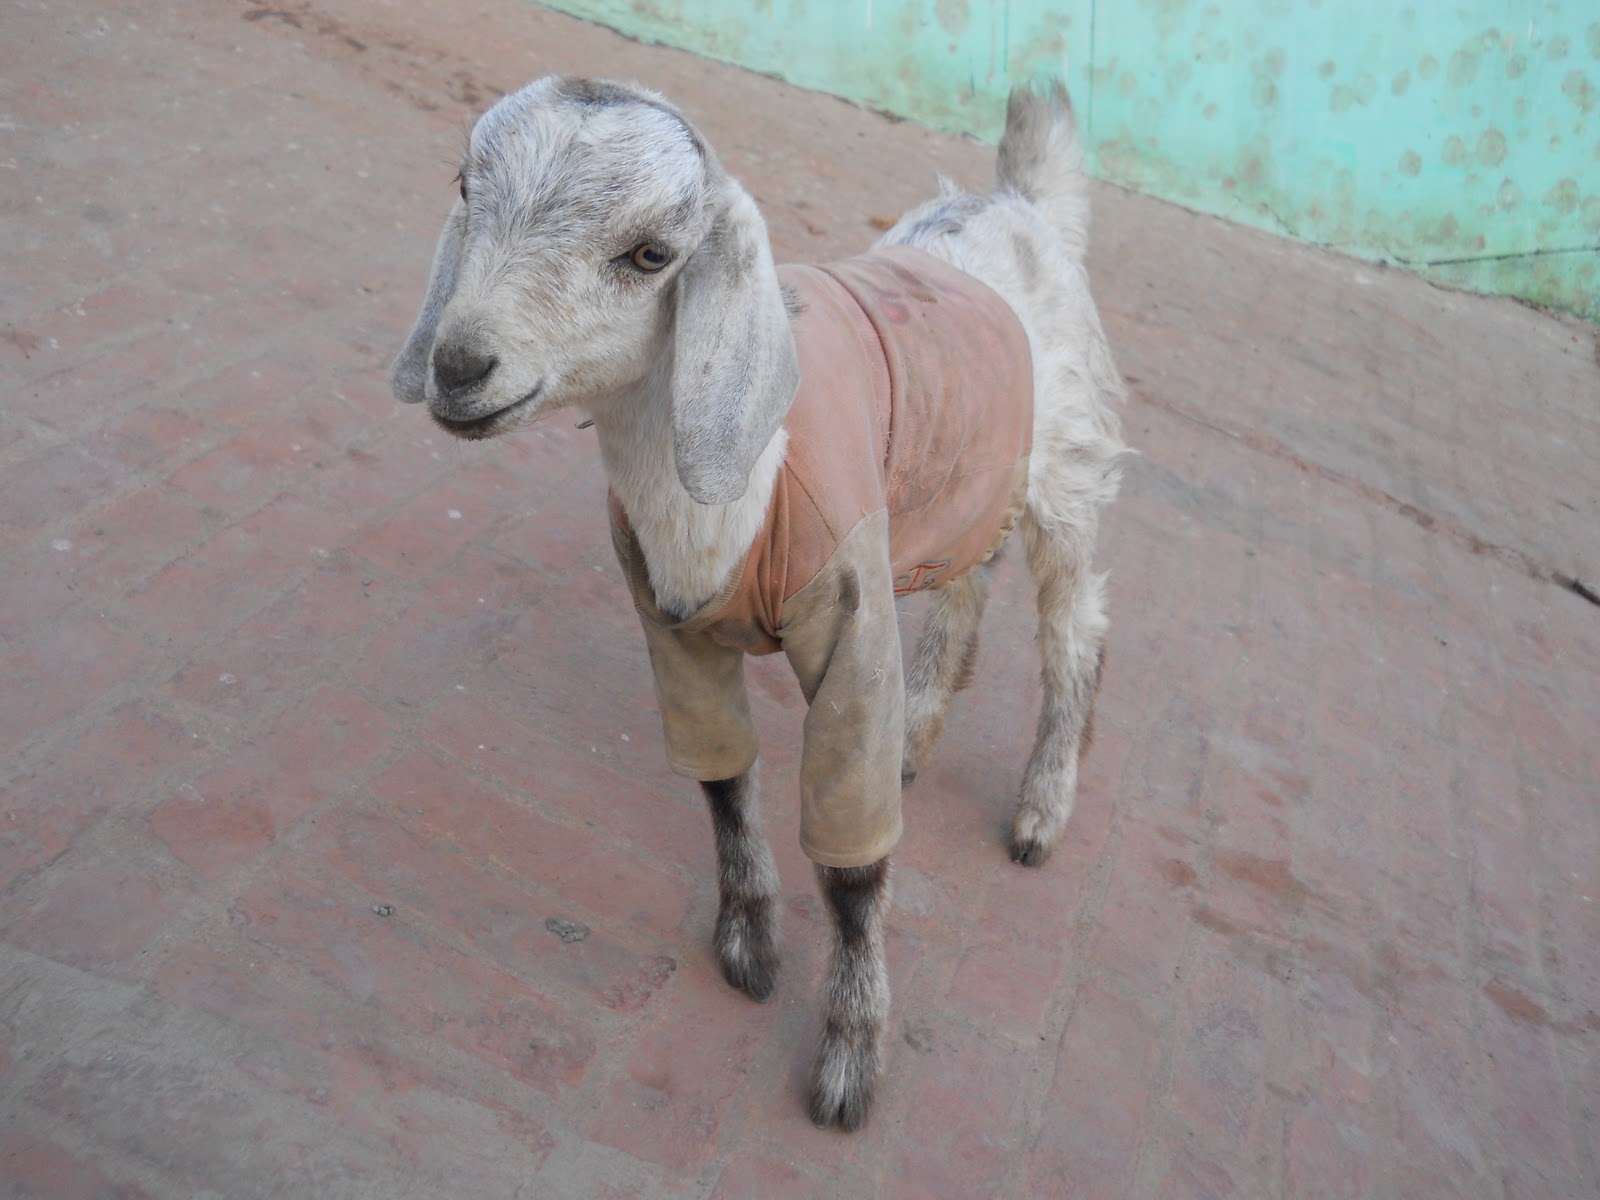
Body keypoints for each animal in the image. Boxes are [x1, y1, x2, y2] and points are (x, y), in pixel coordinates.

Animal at [390, 75, 1125, 1131]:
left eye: (651, 254)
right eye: (462, 186)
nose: (455, 368)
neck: (740, 487)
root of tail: (1022, 201)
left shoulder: (851, 619)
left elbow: (854, 870)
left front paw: (849, 1061)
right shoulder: (672, 628)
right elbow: (724, 785)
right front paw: (748, 945)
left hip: (1068, 470)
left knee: (1076, 635)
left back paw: (1040, 811)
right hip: (963, 488)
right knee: (966, 595)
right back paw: (918, 739)